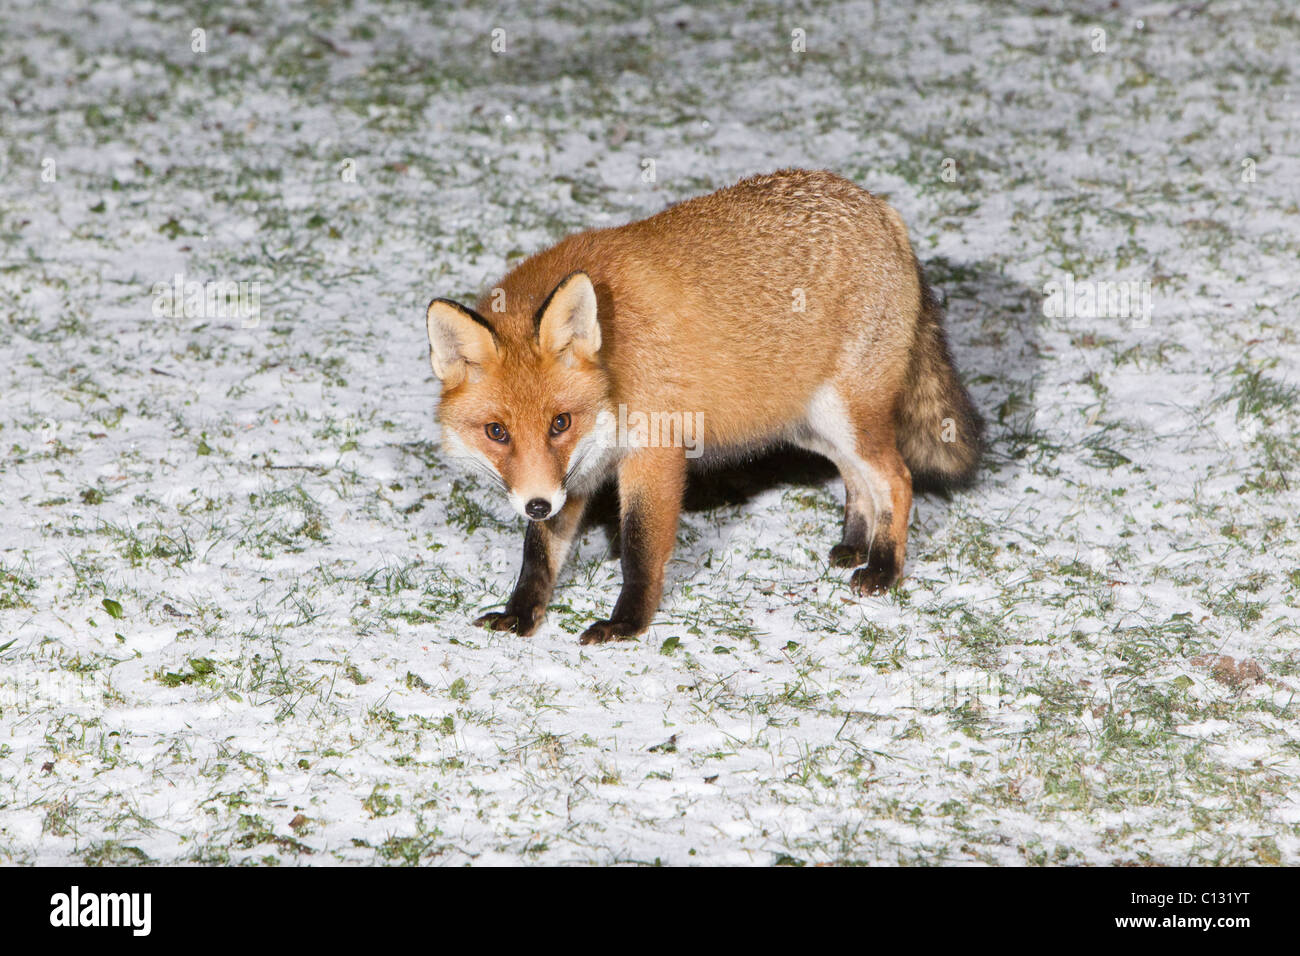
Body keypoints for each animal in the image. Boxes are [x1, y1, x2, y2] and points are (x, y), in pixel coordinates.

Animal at [424, 169, 983, 645]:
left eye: (560, 423)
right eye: (497, 432)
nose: (537, 505)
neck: (616, 365)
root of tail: (879, 206)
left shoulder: (651, 453)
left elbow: (639, 551)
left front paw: (625, 625)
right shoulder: (572, 475)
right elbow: (538, 556)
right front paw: (521, 614)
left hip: (847, 416)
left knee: (897, 478)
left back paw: (885, 568)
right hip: (806, 422)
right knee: (855, 475)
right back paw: (853, 544)